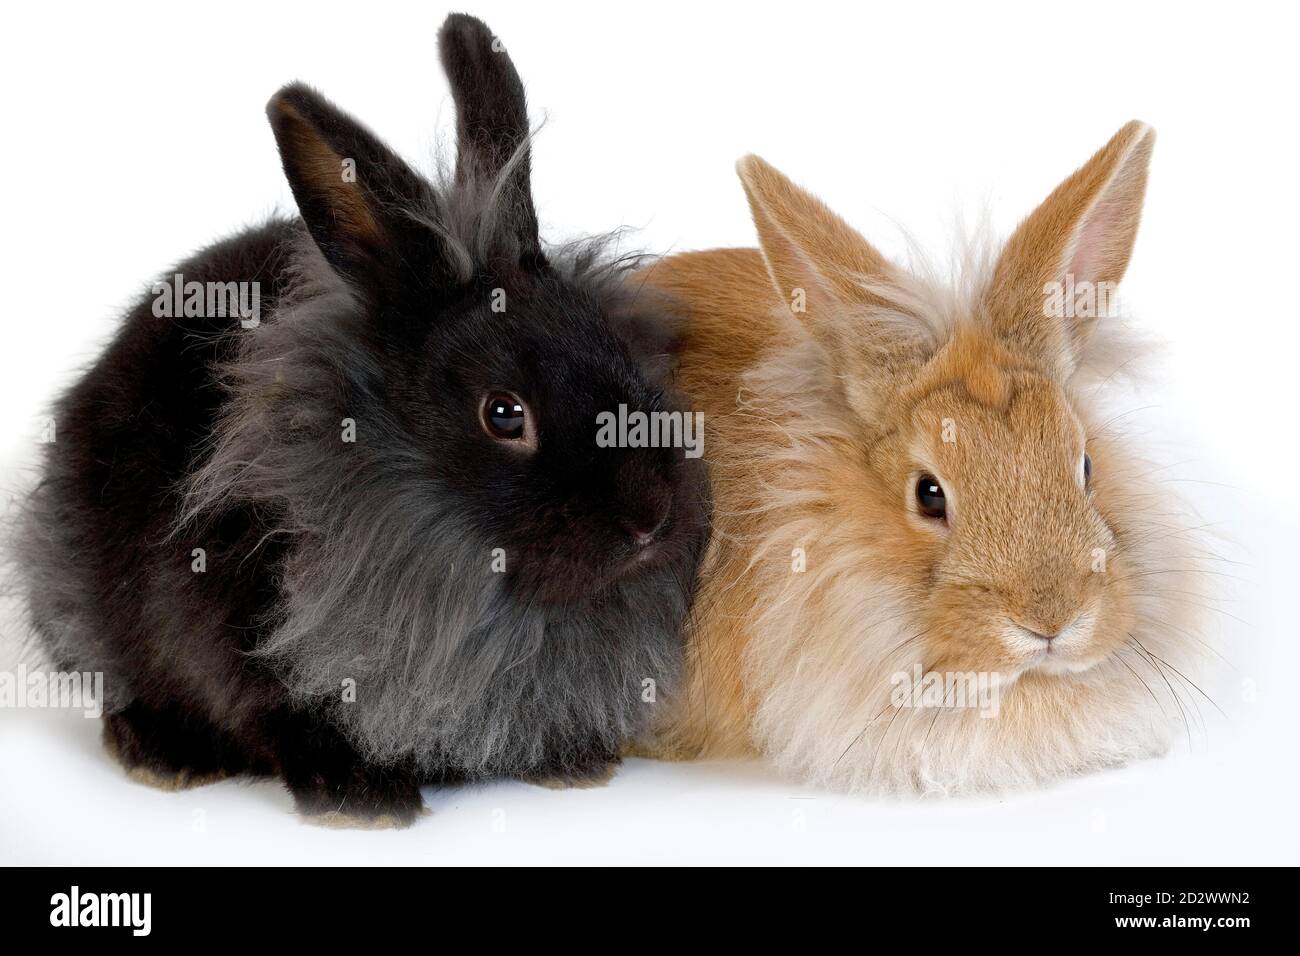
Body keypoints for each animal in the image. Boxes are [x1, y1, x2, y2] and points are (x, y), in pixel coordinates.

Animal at [13, 13, 709, 827]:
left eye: (619, 349)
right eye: (504, 415)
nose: (650, 519)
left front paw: (576, 764)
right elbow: (288, 716)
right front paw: (362, 802)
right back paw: (160, 754)